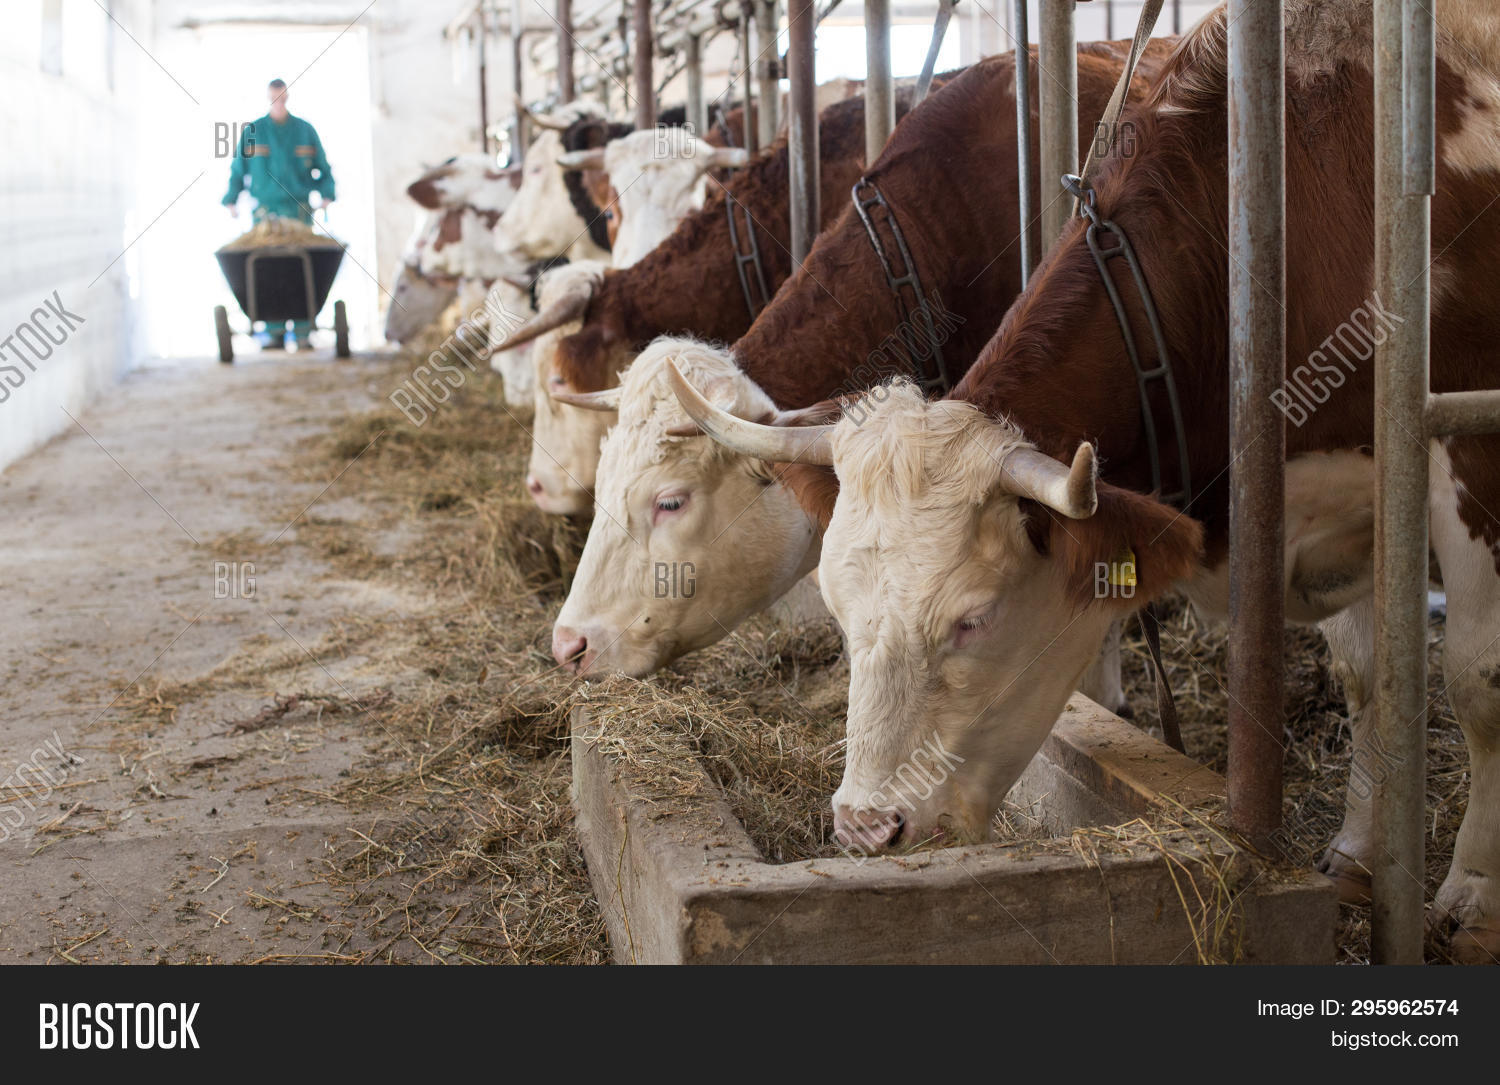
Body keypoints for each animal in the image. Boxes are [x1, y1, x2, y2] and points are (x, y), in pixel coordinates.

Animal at [676, 2, 1500, 962]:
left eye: (972, 619)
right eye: (841, 613)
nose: (864, 827)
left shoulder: (1457, 443)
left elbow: (1474, 679)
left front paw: (1472, 898)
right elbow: (1374, 676)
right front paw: (1361, 856)